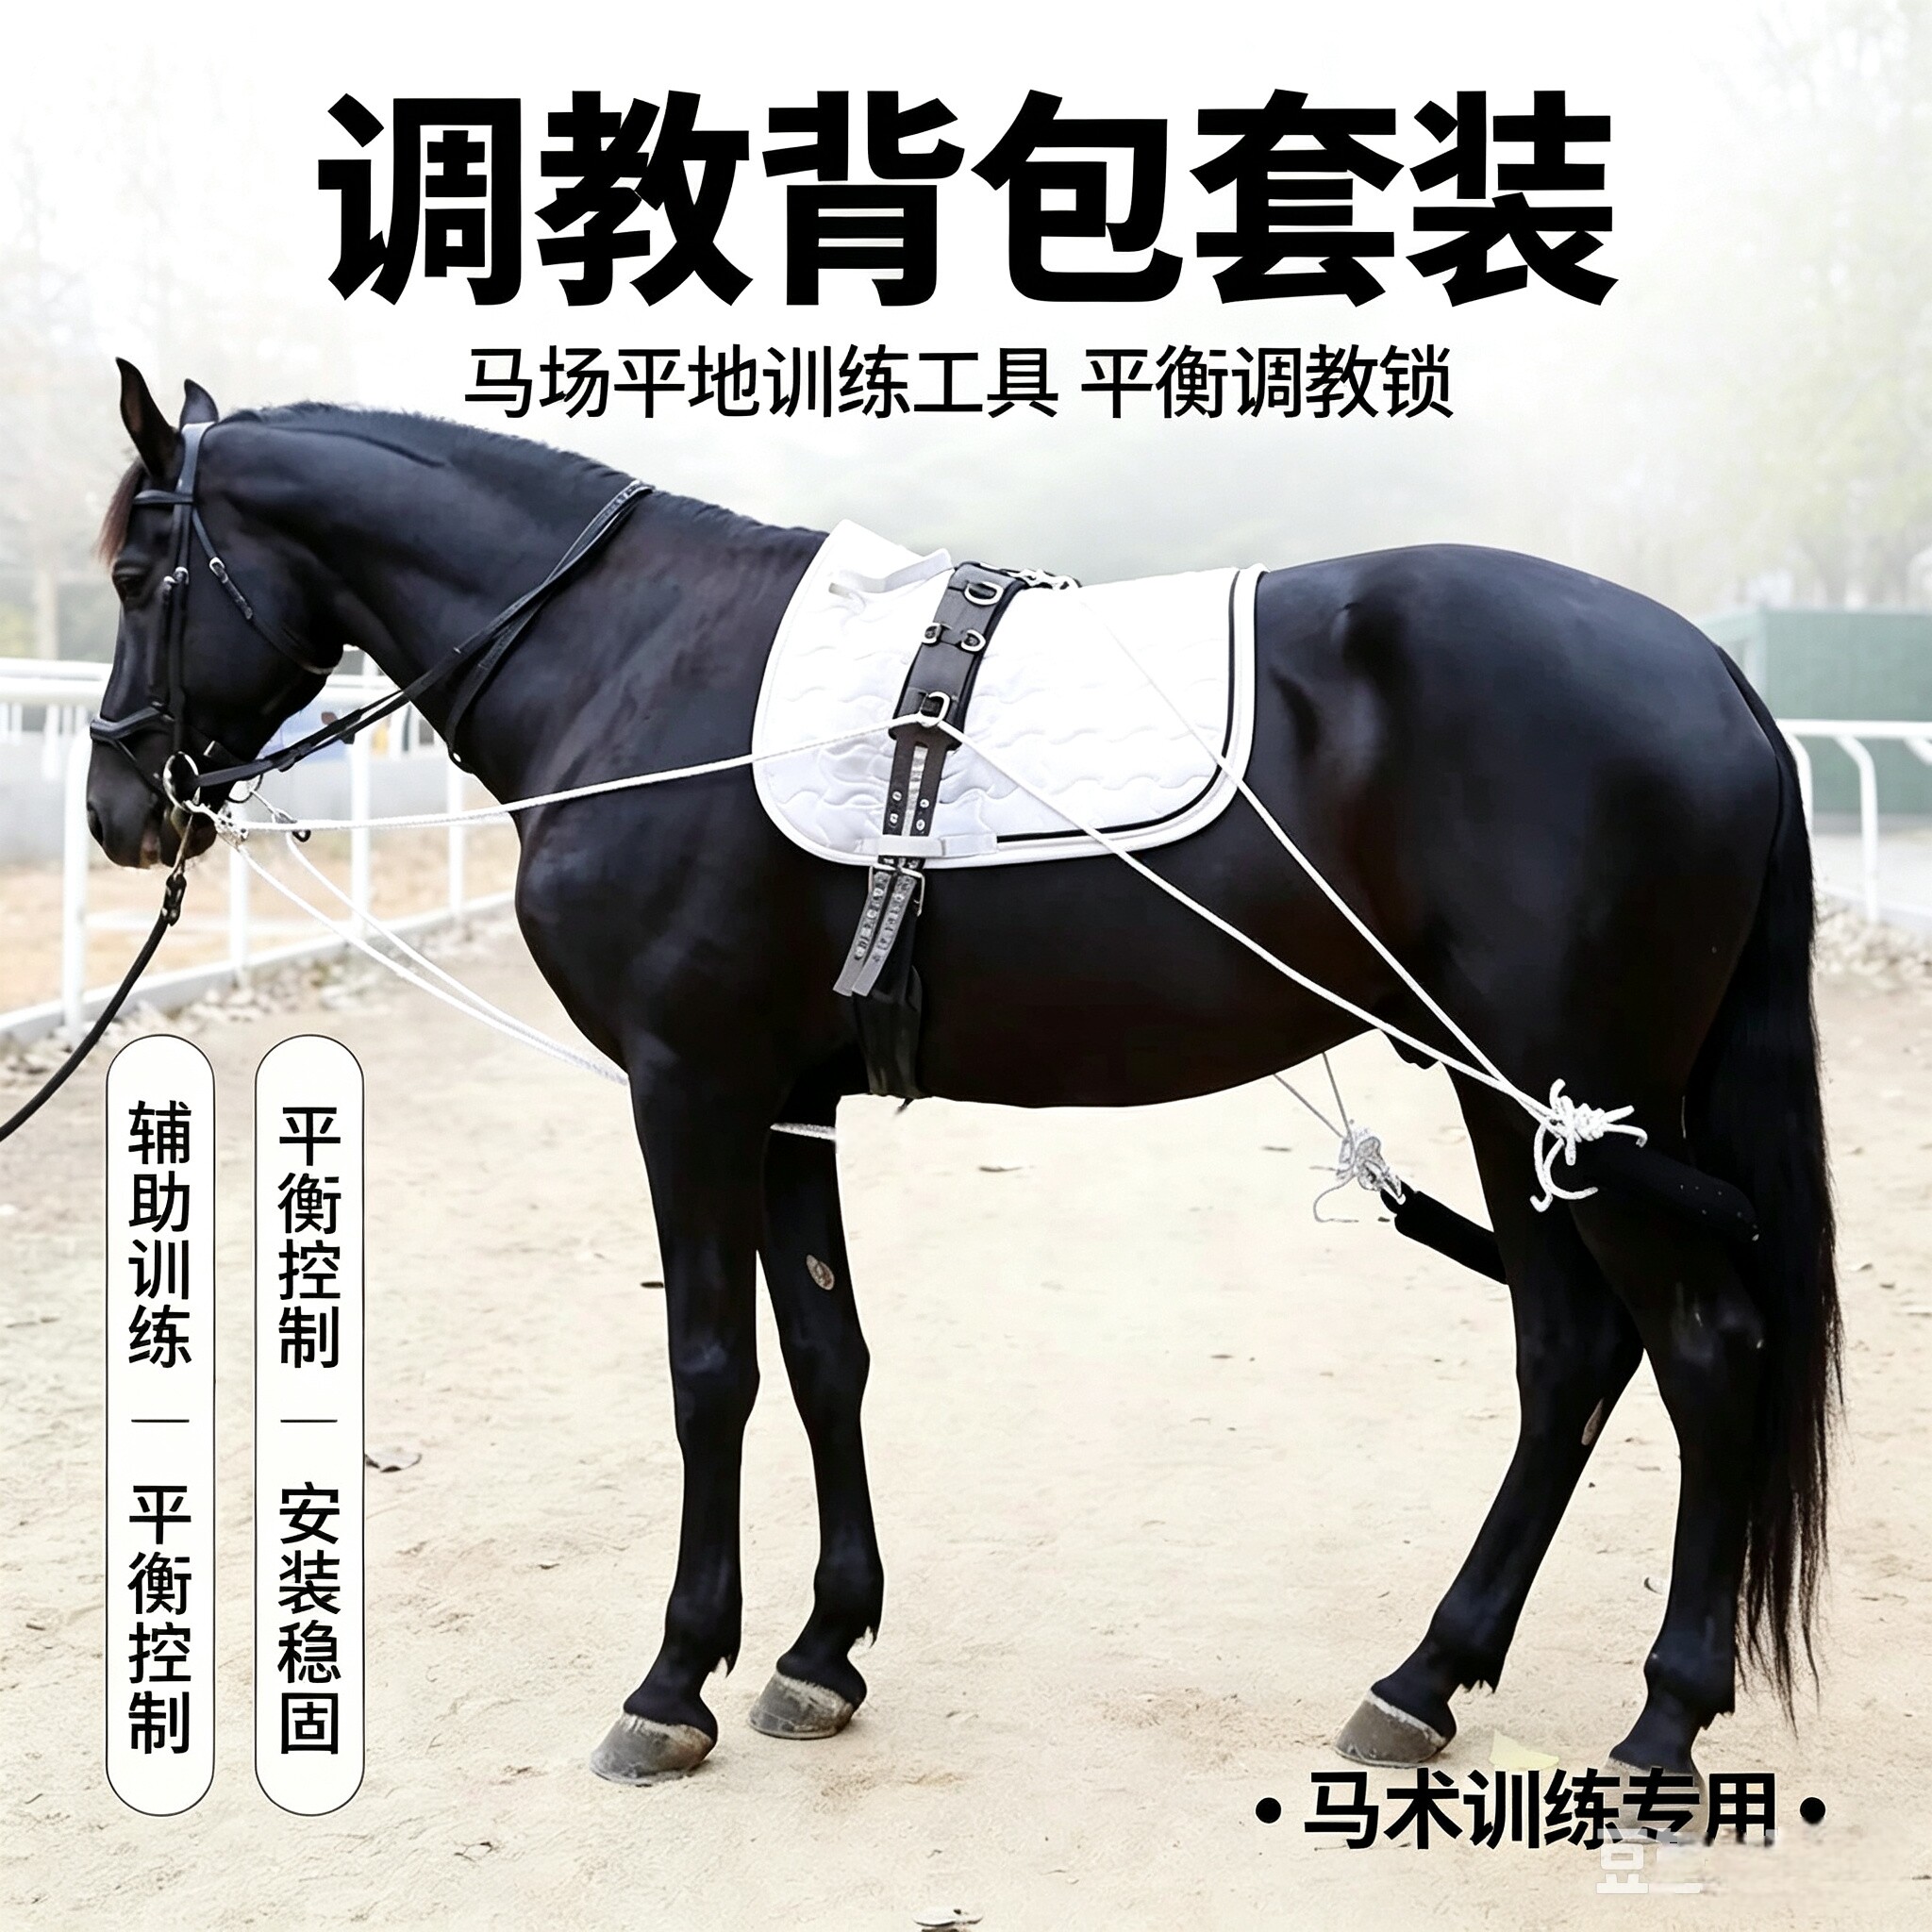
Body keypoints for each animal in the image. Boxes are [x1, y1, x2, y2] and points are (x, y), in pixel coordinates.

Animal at [86, 361, 1838, 1790]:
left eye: (132, 567)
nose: (119, 804)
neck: (637, 657)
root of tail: (1715, 674)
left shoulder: (686, 1087)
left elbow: (710, 1367)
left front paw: (675, 1679)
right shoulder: (783, 1098)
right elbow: (823, 1351)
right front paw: (819, 1650)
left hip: (1574, 1102)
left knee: (1702, 1346)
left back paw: (1664, 1712)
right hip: (1516, 1101)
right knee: (1572, 1354)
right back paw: (1424, 1676)